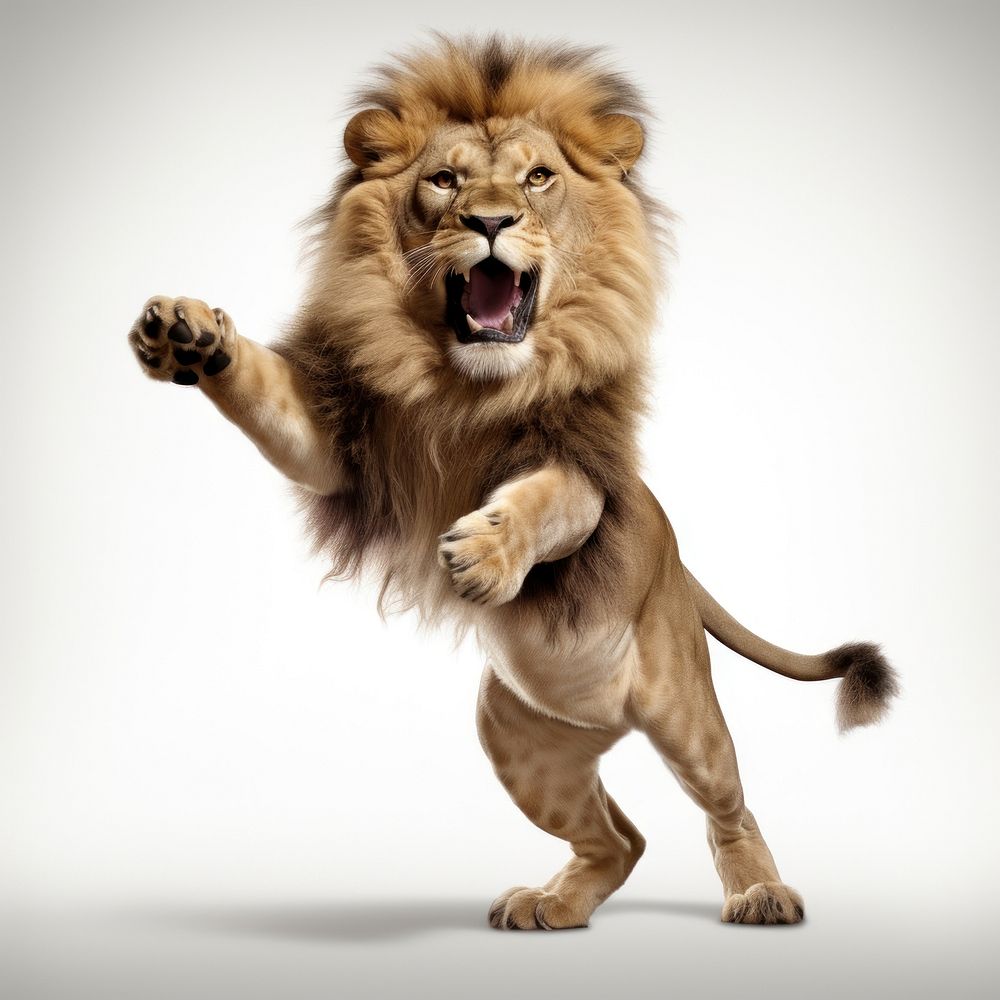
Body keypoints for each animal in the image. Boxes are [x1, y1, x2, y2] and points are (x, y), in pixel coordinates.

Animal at [127, 33, 898, 929]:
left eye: (537, 178)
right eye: (444, 180)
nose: (489, 222)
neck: (466, 386)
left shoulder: (579, 473)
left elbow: (546, 500)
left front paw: (486, 555)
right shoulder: (342, 442)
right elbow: (261, 388)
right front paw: (190, 334)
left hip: (682, 709)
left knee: (728, 804)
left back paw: (762, 892)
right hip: (520, 740)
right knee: (622, 838)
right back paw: (552, 905)